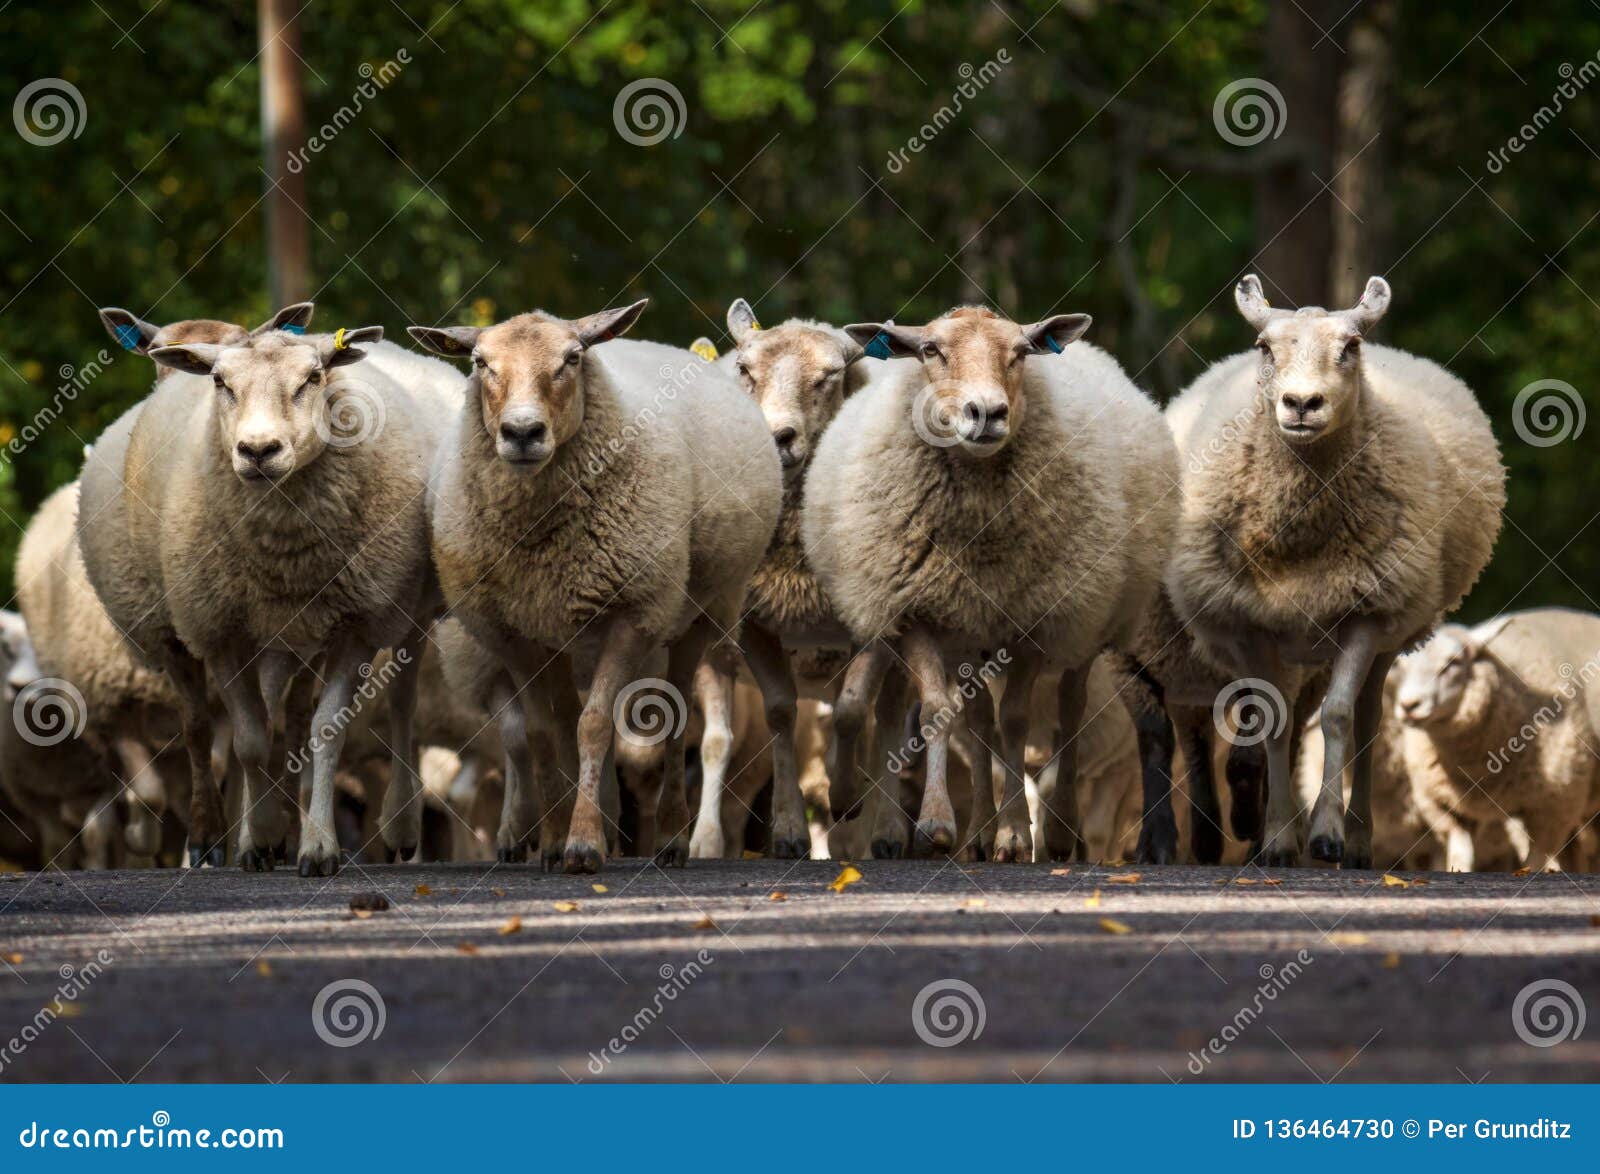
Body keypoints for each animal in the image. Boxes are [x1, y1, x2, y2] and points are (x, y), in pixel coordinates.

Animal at [77, 314, 453, 875]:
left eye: (313, 378)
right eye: (220, 382)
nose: (258, 451)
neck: (284, 555)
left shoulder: (358, 624)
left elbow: (325, 730)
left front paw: (315, 846)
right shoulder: (218, 629)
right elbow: (251, 742)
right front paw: (261, 838)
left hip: (402, 609)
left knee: (400, 704)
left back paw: (399, 826)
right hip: (201, 631)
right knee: (208, 727)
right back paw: (219, 837)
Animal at [411, 299, 783, 873]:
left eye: (572, 359)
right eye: (480, 362)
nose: (522, 432)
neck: (543, 541)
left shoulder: (632, 613)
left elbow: (594, 725)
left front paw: (583, 843)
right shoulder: (517, 633)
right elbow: (544, 733)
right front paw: (557, 838)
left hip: (702, 613)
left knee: (677, 718)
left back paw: (671, 837)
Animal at [802, 305, 1179, 861]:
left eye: (1021, 352)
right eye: (930, 350)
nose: (986, 412)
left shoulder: (1034, 619)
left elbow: (1017, 720)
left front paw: (1016, 835)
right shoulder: (917, 610)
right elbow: (938, 712)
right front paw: (938, 825)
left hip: (1089, 618)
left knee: (1070, 707)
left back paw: (1059, 832)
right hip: (970, 632)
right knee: (978, 719)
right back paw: (978, 829)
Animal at [1166, 275, 1506, 868]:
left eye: (1351, 347)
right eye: (1264, 348)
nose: (1302, 403)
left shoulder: (1366, 609)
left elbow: (1338, 717)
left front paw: (1327, 834)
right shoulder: (1248, 622)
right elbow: (1276, 723)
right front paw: (1279, 838)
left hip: (1393, 626)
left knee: (1367, 721)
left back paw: (1360, 838)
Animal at [1394, 608, 1600, 872]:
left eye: (1453, 662)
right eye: (1400, 664)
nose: (1409, 705)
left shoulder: (1553, 807)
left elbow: (1533, 863)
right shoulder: (1449, 810)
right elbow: (1459, 858)